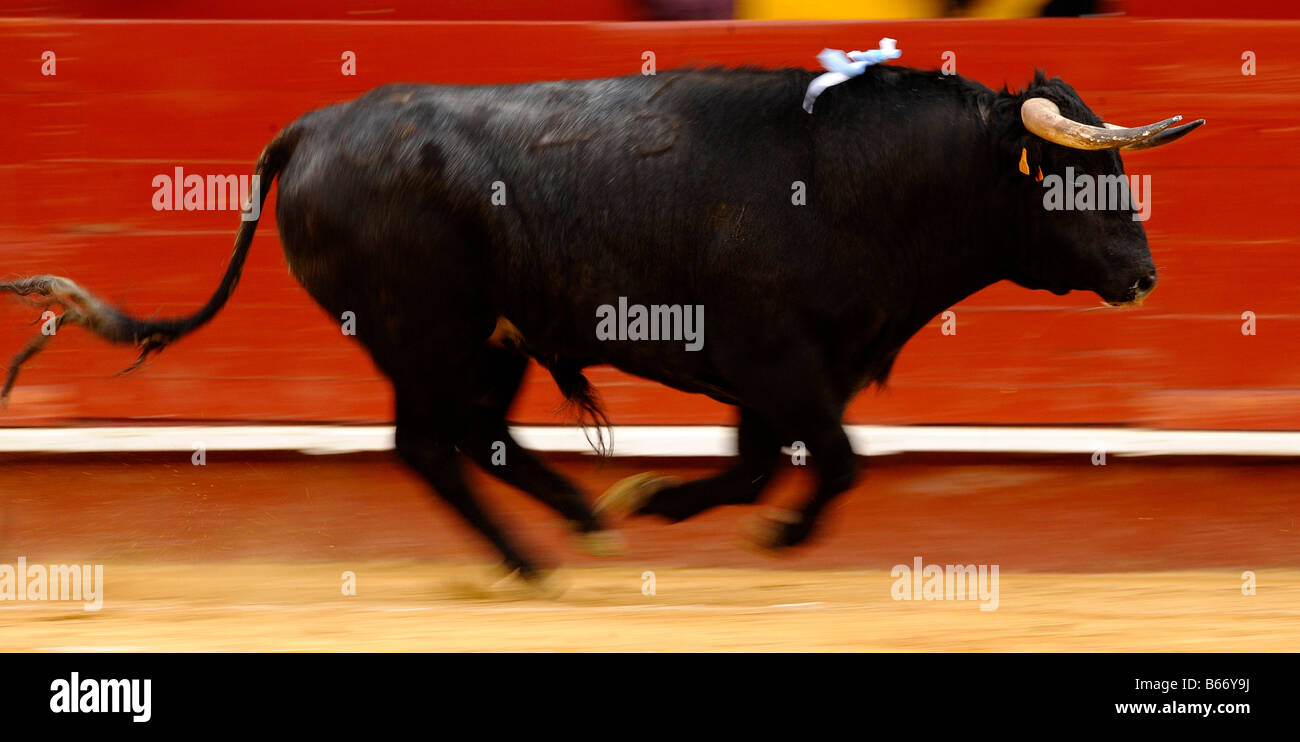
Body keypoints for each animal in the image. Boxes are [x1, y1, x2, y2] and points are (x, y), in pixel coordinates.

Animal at [1, 63, 1202, 582]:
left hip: (486, 340)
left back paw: (579, 519)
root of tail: (314, 128)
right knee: (425, 444)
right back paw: (533, 558)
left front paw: (653, 498)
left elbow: (764, 464)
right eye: (1079, 178)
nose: (1146, 275)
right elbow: (835, 463)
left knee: (475, 435)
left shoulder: (778, 375)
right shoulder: (780, 360)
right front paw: (752, 531)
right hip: (423, 333)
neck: (852, 177)